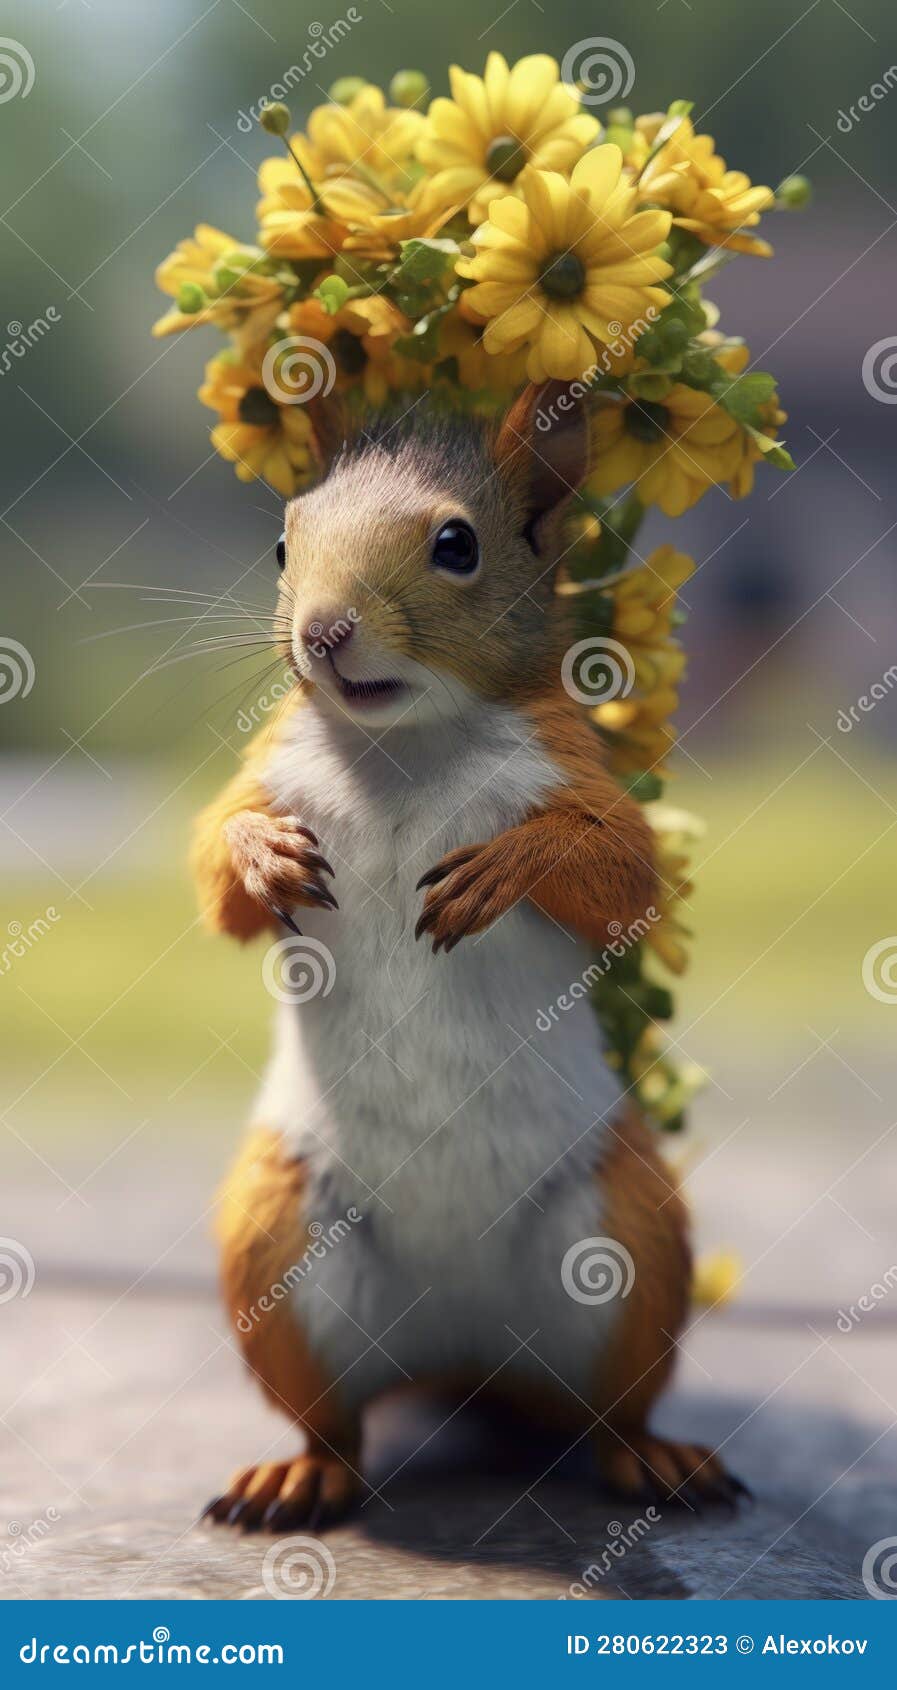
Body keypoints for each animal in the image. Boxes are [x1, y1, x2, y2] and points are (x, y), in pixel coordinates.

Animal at [194, 382, 744, 1532]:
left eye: (458, 545)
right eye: (283, 542)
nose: (323, 633)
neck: (403, 742)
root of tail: (464, 1353)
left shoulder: (572, 766)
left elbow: (624, 874)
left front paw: (506, 868)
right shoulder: (269, 763)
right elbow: (213, 870)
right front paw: (259, 854)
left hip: (632, 1238)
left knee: (614, 1408)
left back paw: (651, 1456)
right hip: (276, 1246)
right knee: (332, 1423)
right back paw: (301, 1473)